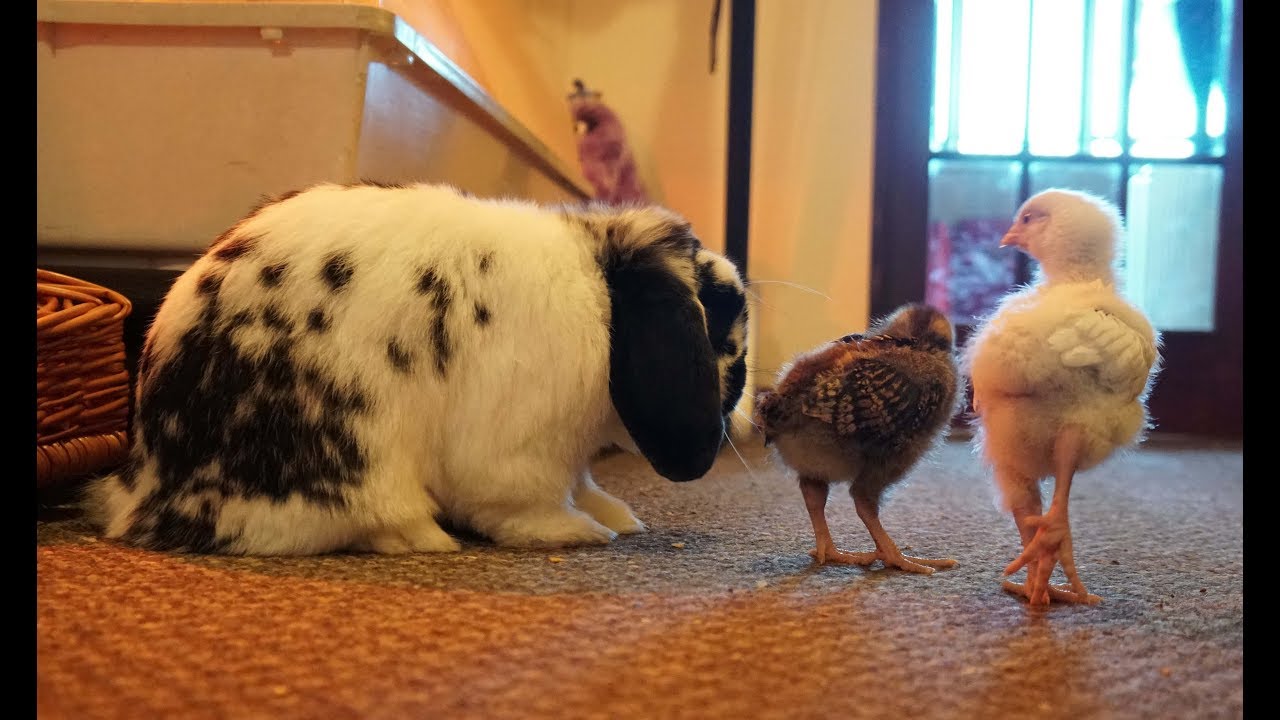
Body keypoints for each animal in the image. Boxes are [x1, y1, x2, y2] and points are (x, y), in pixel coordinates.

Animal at [82, 181, 750, 556]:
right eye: (723, 324)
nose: (739, 401)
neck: (602, 294)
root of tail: (144, 491)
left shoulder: (570, 454)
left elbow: (584, 482)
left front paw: (616, 515)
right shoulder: (520, 454)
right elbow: (523, 504)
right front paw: (576, 531)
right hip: (356, 463)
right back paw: (423, 538)